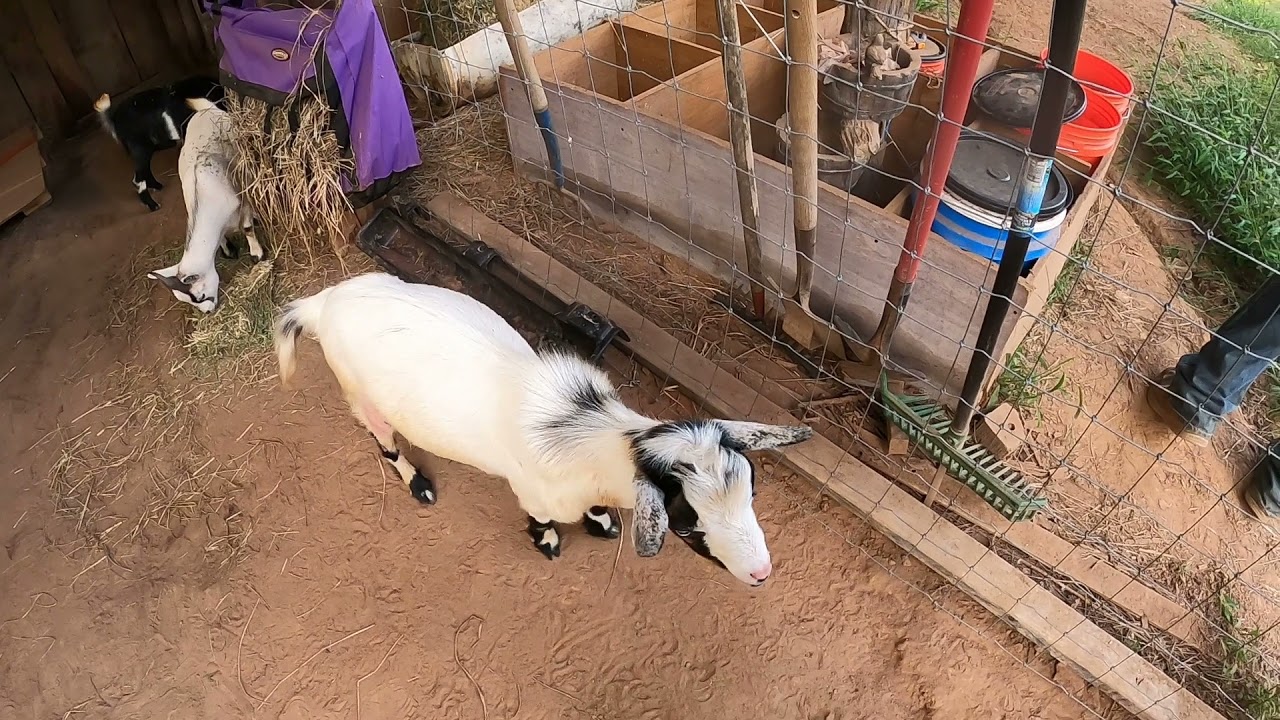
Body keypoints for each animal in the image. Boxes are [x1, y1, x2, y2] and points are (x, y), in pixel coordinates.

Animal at [95, 75, 225, 211]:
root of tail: (114, 120)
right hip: (140, 147)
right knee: (138, 179)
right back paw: (154, 206)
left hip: (146, 148)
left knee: (144, 171)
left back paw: (158, 186)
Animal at [147, 98, 263, 314]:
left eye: (199, 296)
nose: (208, 312)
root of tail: (205, 109)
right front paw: (228, 251)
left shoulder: (242, 198)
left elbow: (246, 227)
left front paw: (256, 254)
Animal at [272, 273, 813, 586]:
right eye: (686, 521)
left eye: (751, 491)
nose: (762, 572)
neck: (587, 430)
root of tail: (321, 304)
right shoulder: (534, 492)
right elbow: (542, 520)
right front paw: (549, 543)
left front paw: (602, 525)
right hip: (359, 394)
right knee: (381, 441)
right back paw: (418, 483)